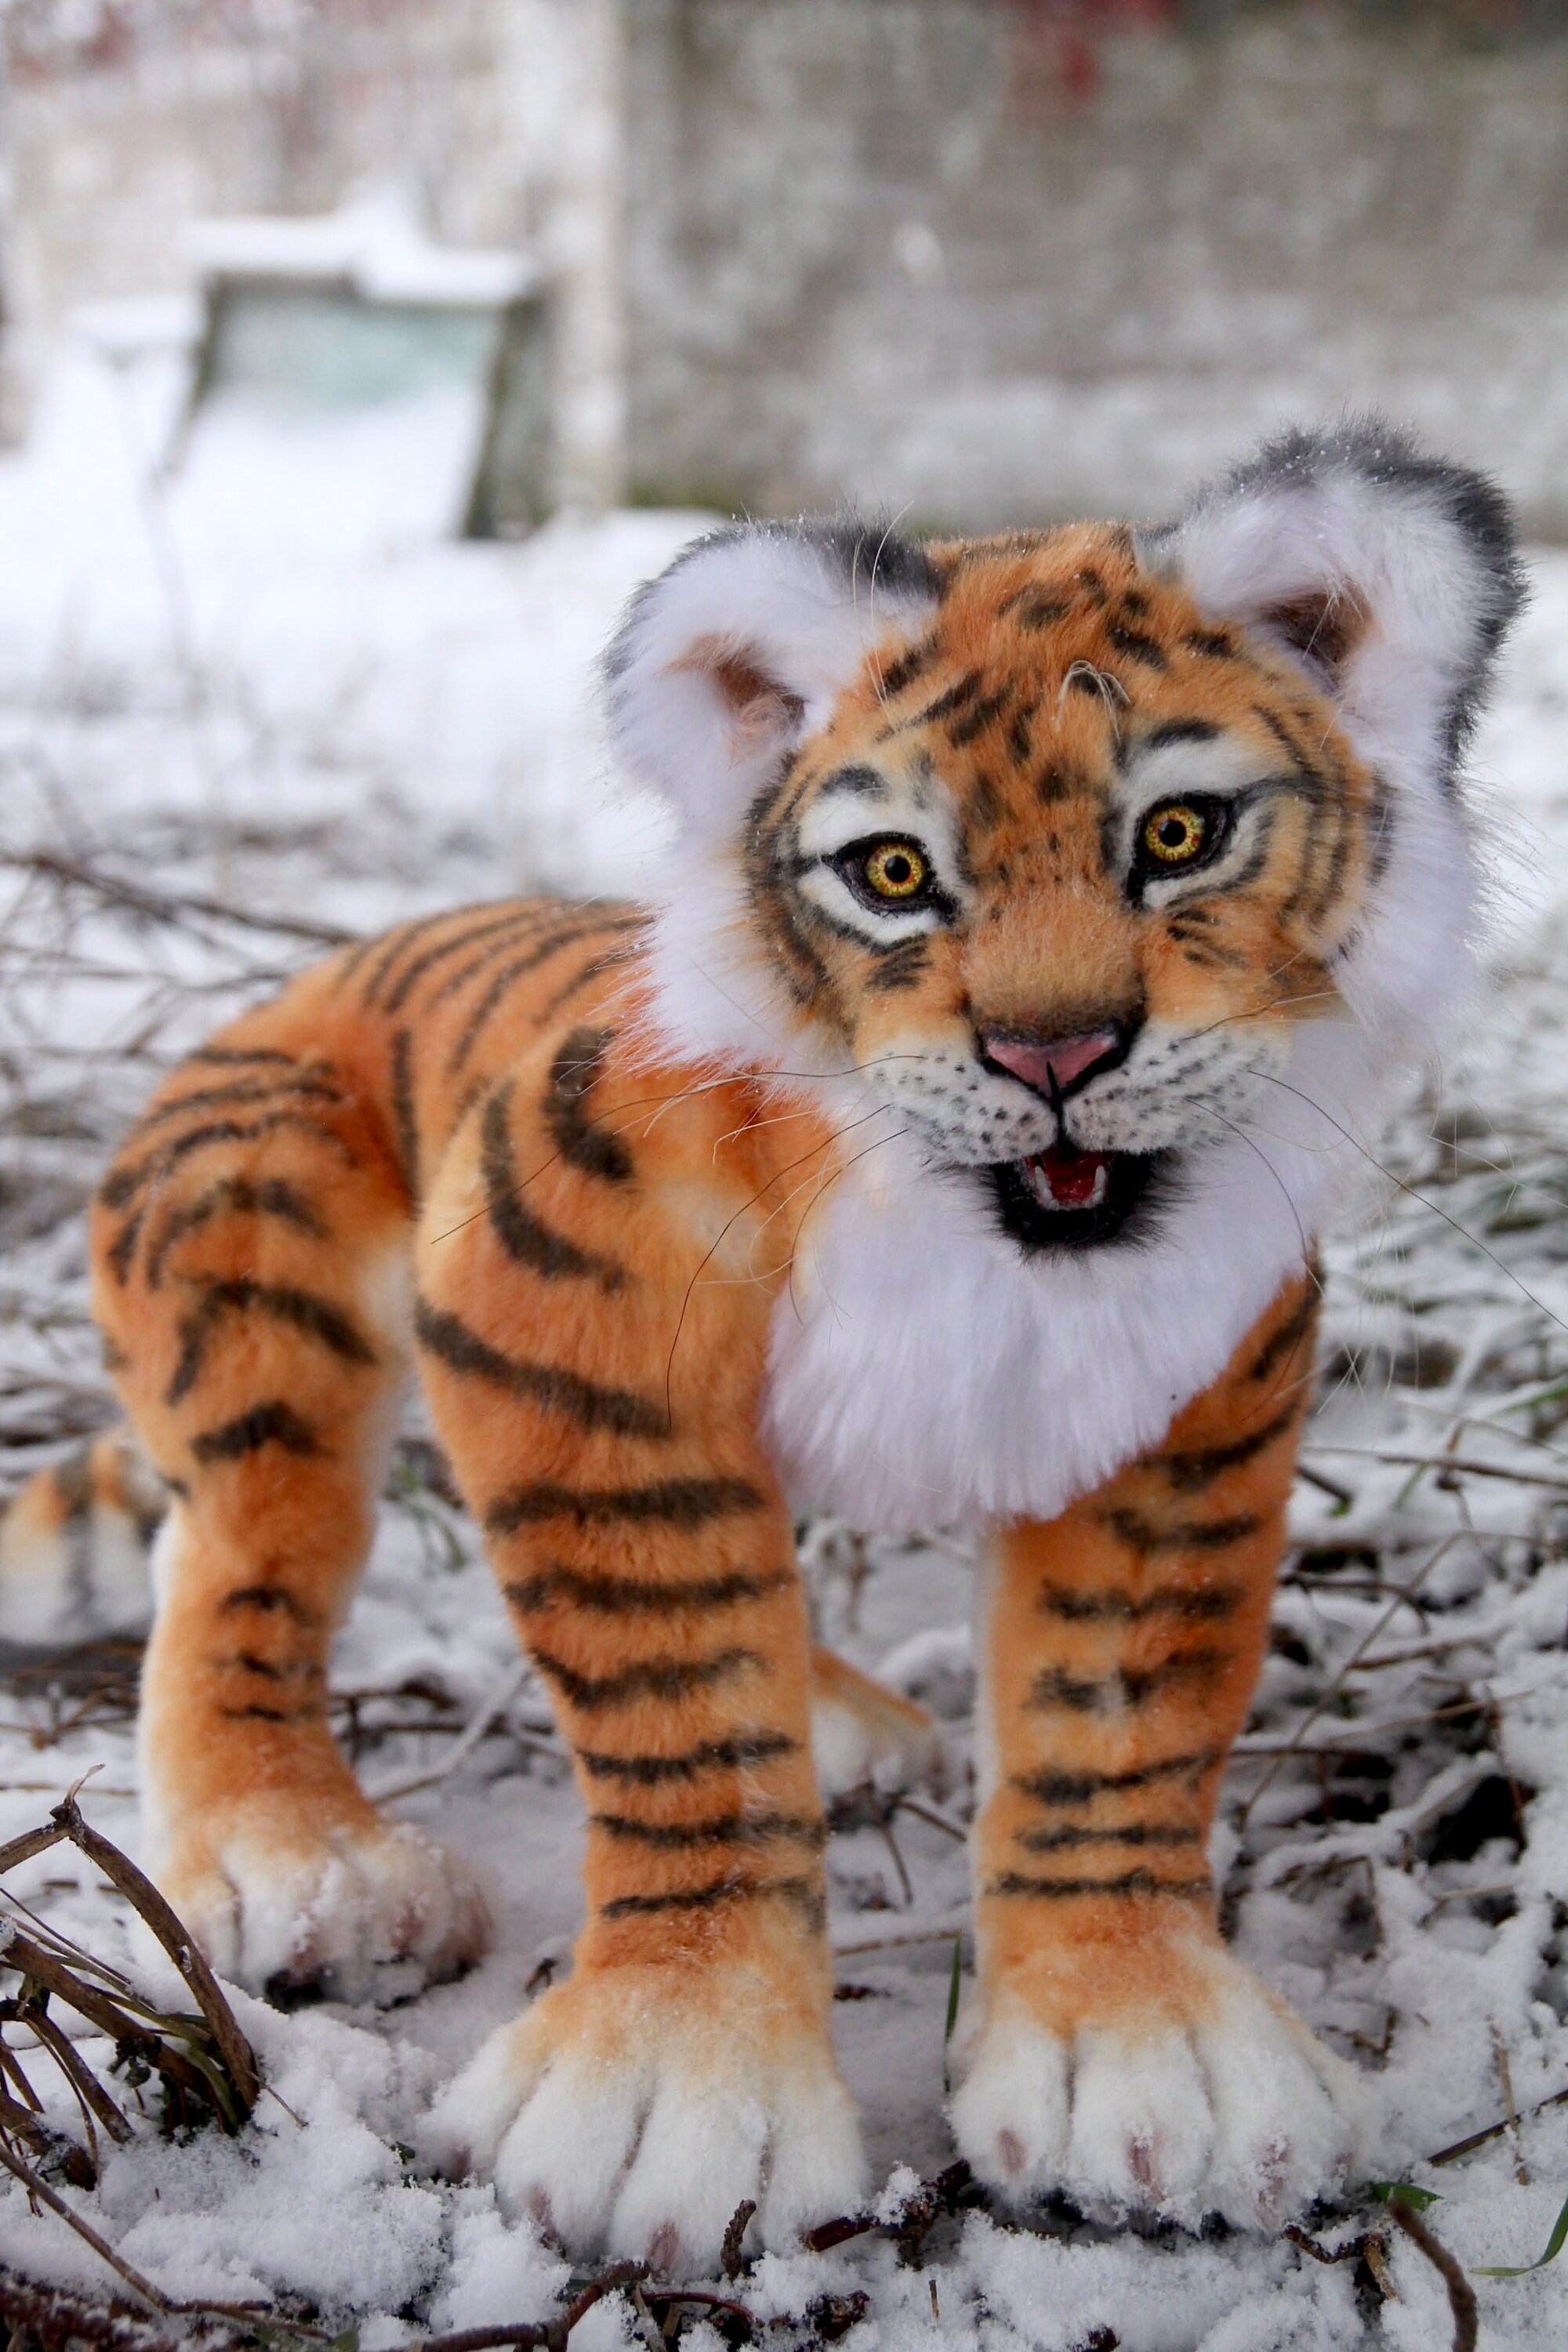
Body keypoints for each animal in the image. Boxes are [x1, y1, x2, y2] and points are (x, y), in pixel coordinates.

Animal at [0, 419, 1522, 2273]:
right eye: (894, 874)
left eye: (1175, 833)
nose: (1055, 1052)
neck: (994, 1246)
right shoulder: (554, 1306)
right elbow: (681, 1690)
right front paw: (677, 2097)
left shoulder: (1193, 1389)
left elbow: (1123, 1712)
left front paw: (1146, 2061)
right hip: (259, 1266)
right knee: (236, 1569)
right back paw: (313, 1869)